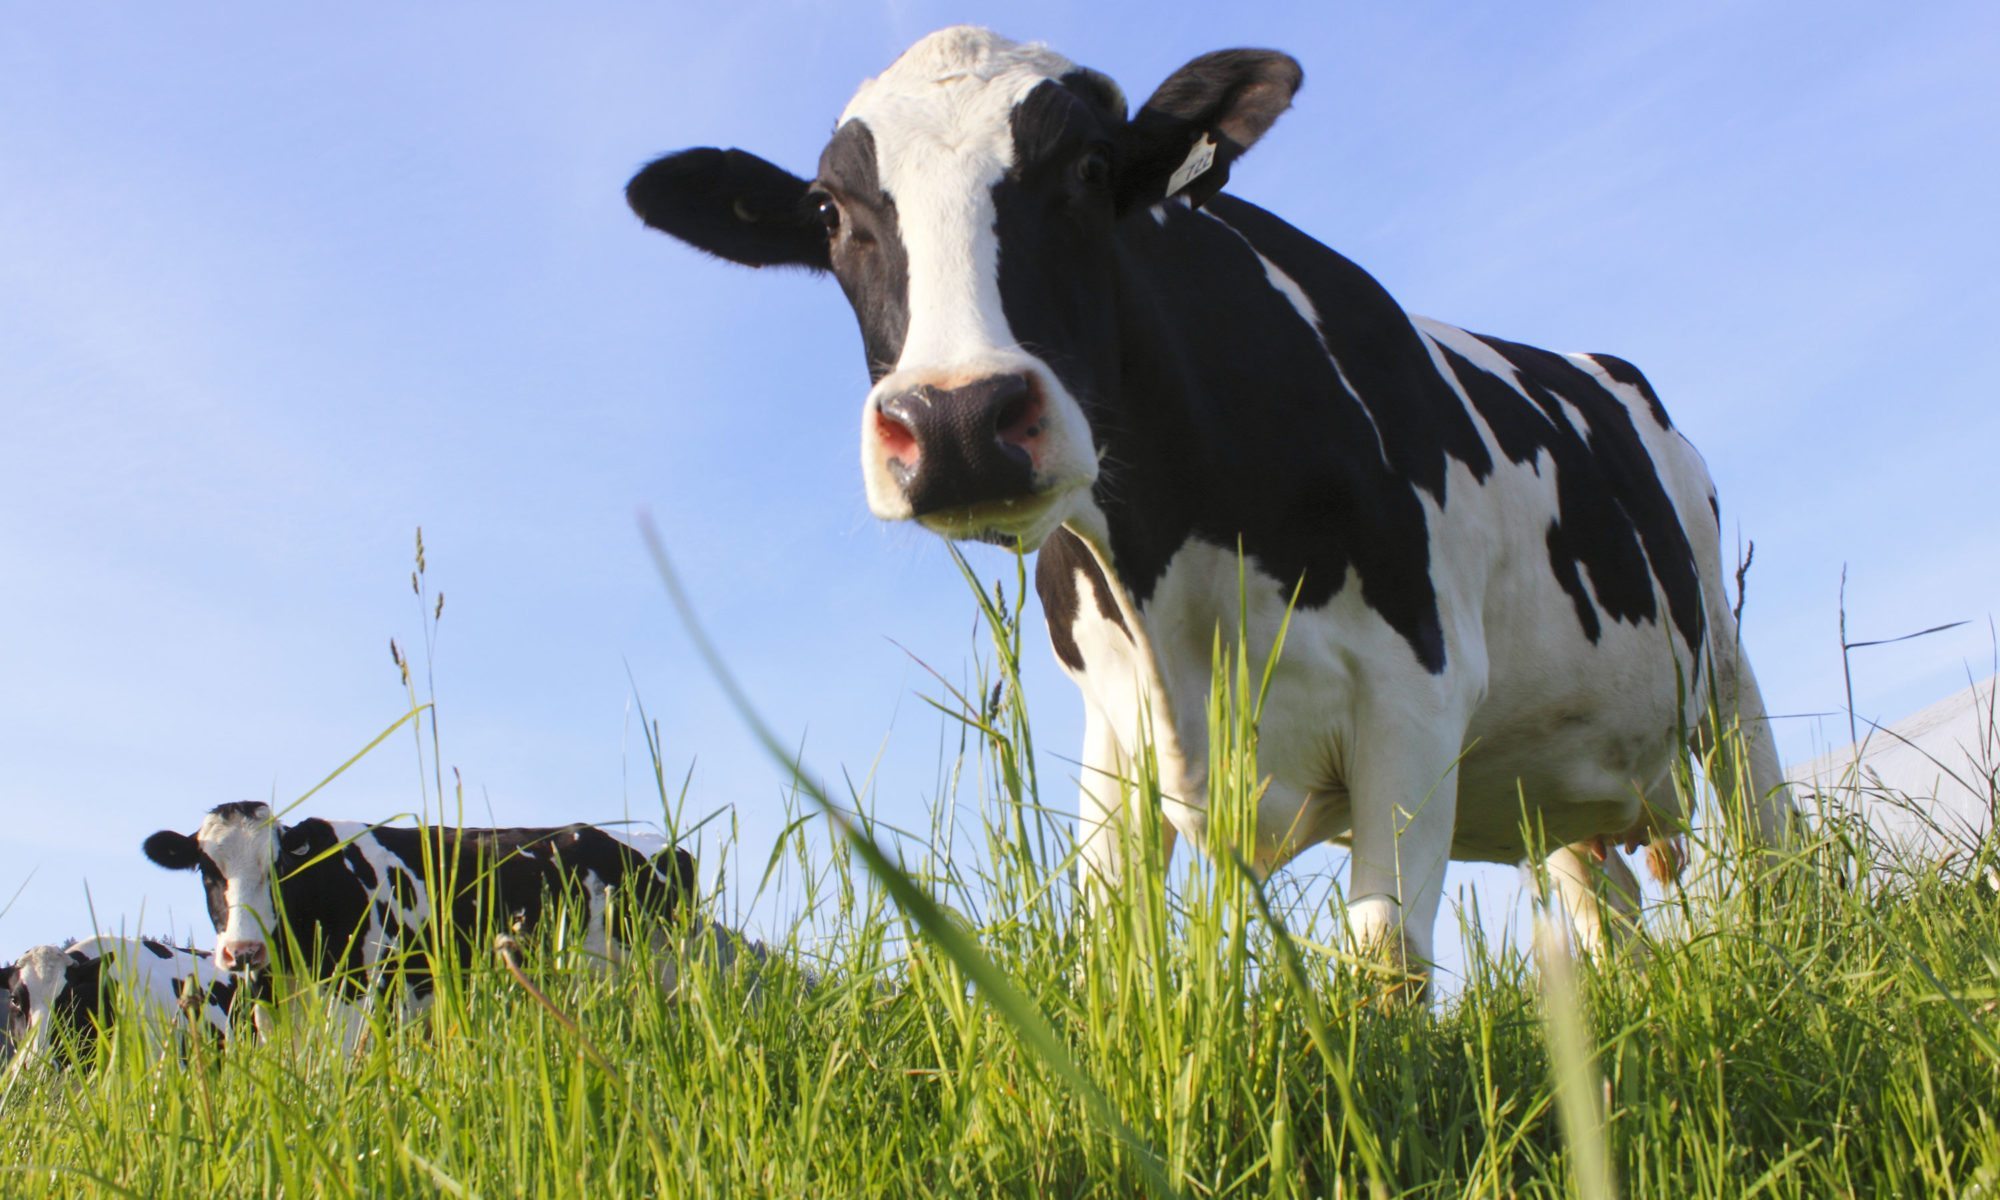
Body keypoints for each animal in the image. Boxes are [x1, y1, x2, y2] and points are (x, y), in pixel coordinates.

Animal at [622, 27, 1794, 974]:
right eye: (829, 211)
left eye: (1091, 168)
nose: (958, 421)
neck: (1169, 578)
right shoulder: (1113, 734)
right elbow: (1111, 949)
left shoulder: (1414, 690)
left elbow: (1384, 960)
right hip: (1555, 784)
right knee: (1607, 909)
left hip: (1725, 679)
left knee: (1771, 848)